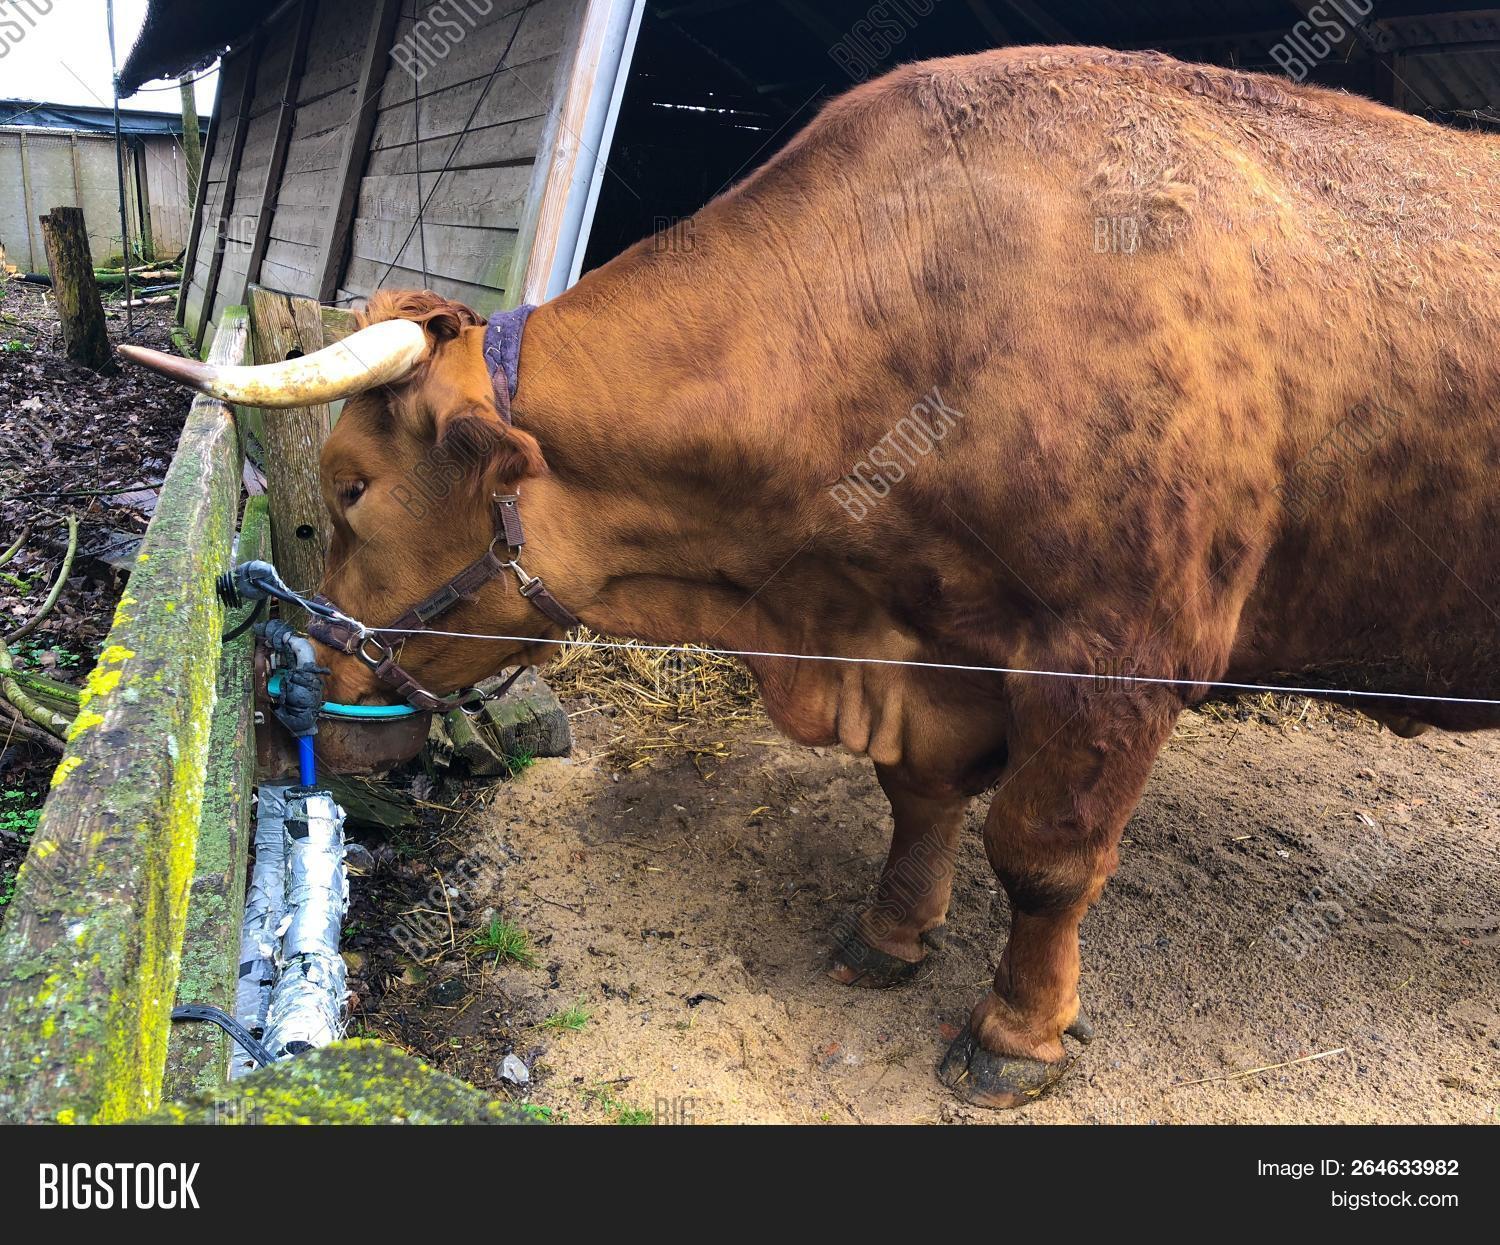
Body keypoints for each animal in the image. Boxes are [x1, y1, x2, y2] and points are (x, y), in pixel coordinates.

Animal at [122, 47, 1500, 1108]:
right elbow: (921, 799)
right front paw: (890, 937)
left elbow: (1043, 854)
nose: (283, 684)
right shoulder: (932, 643)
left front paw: (1016, 1038)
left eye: (352, 485)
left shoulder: (1114, 652)